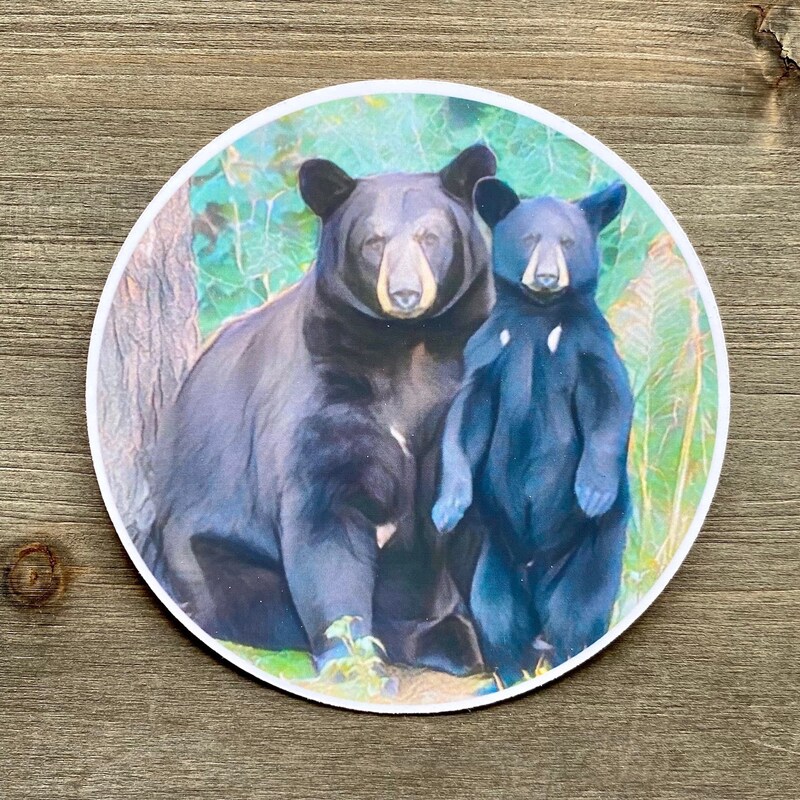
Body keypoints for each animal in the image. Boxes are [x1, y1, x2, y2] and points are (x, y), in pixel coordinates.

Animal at [148, 144, 498, 677]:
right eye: (373, 241)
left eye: (430, 237)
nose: (405, 293)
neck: (409, 346)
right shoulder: (323, 392)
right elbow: (326, 524)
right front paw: (354, 663)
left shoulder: (467, 391)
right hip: (204, 543)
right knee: (250, 601)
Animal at [431, 178, 633, 685]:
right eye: (529, 239)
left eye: (567, 242)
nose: (546, 277)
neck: (537, 319)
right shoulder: (489, 351)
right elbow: (463, 420)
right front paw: (447, 506)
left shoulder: (587, 345)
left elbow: (610, 404)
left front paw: (593, 491)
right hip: (495, 555)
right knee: (497, 614)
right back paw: (505, 671)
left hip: (593, 553)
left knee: (576, 614)